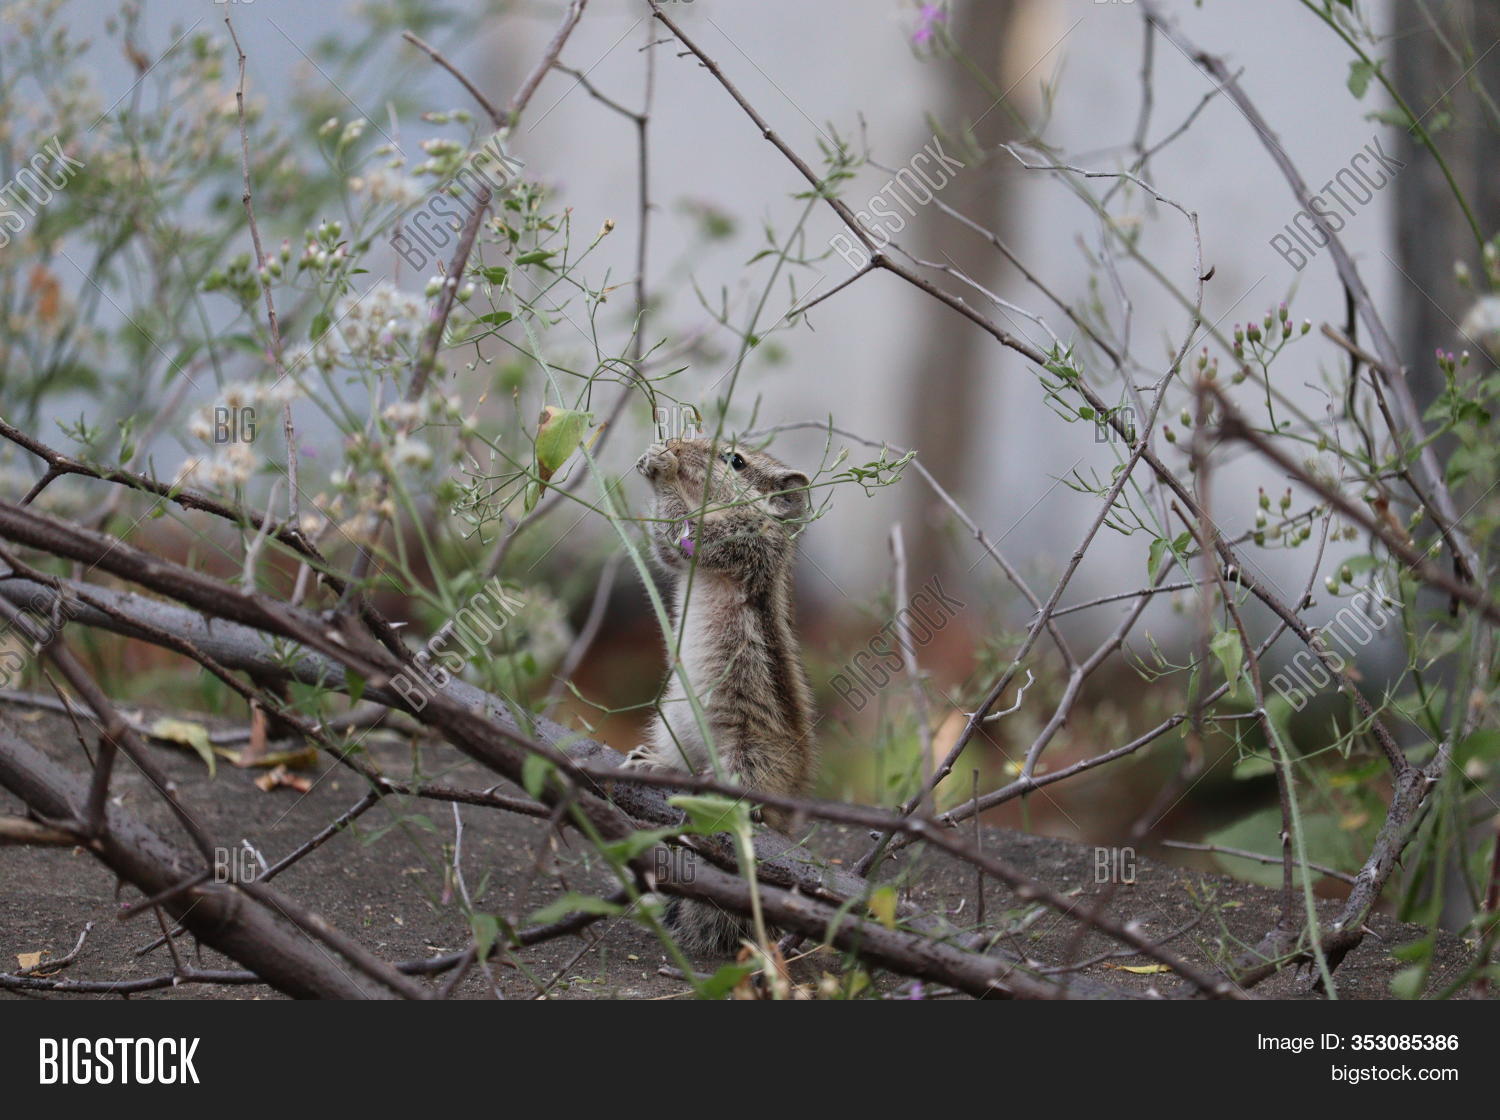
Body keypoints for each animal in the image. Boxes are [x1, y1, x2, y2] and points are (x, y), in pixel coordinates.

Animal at [625, 436, 817, 953]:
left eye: (735, 461)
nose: (676, 443)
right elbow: (666, 552)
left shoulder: (738, 539)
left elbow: (682, 532)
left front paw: (663, 470)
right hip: (673, 728)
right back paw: (656, 765)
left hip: (749, 757)